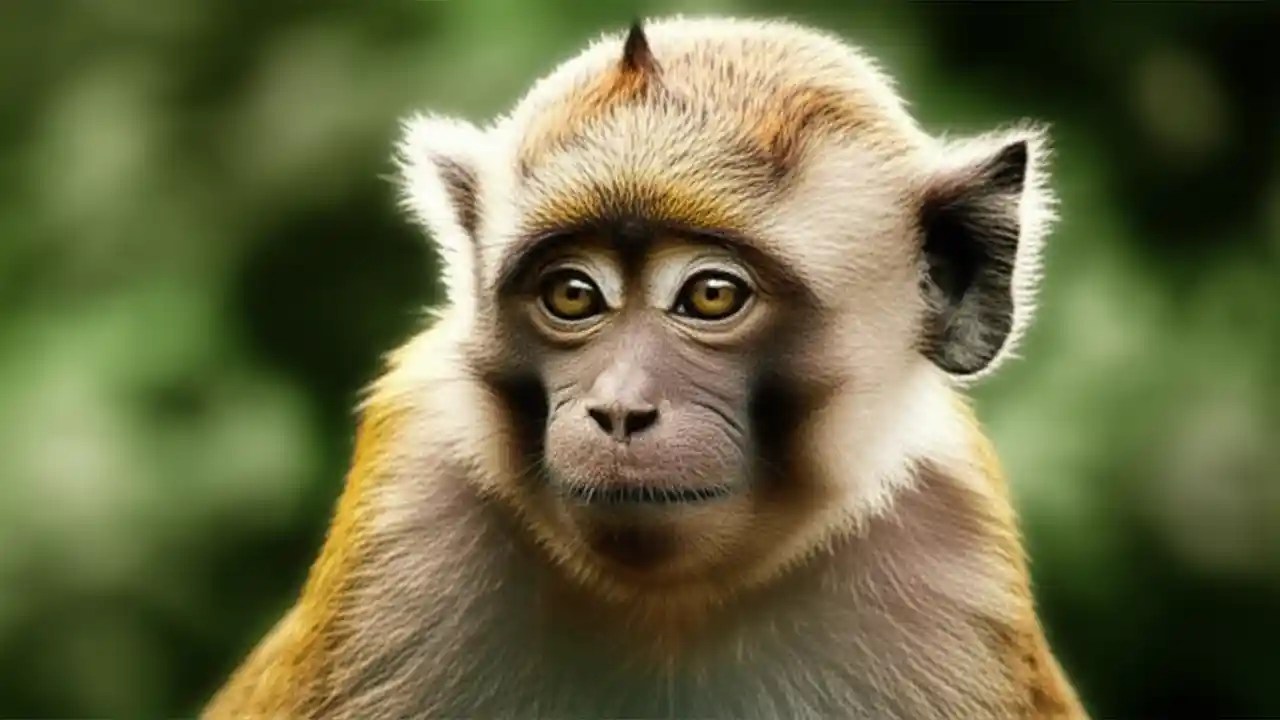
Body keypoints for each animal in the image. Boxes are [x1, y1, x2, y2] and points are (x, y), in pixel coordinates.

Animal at [204, 16, 1087, 719]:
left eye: (710, 295)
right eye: (571, 294)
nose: (620, 409)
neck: (672, 609)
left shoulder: (952, 558)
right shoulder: (408, 511)